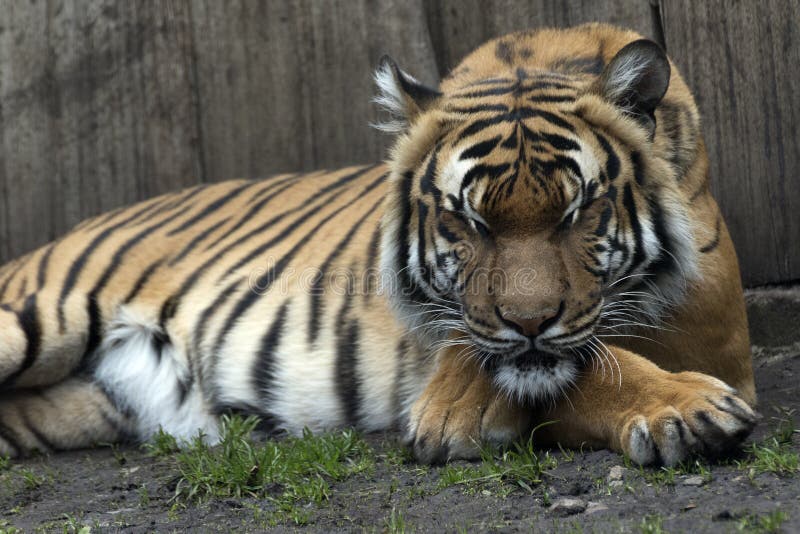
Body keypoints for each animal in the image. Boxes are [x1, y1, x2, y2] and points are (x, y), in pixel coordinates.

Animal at [0, 23, 757, 466]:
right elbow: (590, 366)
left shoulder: (714, 339)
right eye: (469, 222)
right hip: (34, 321)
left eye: (577, 212)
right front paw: (683, 408)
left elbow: (595, 360)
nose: (529, 323)